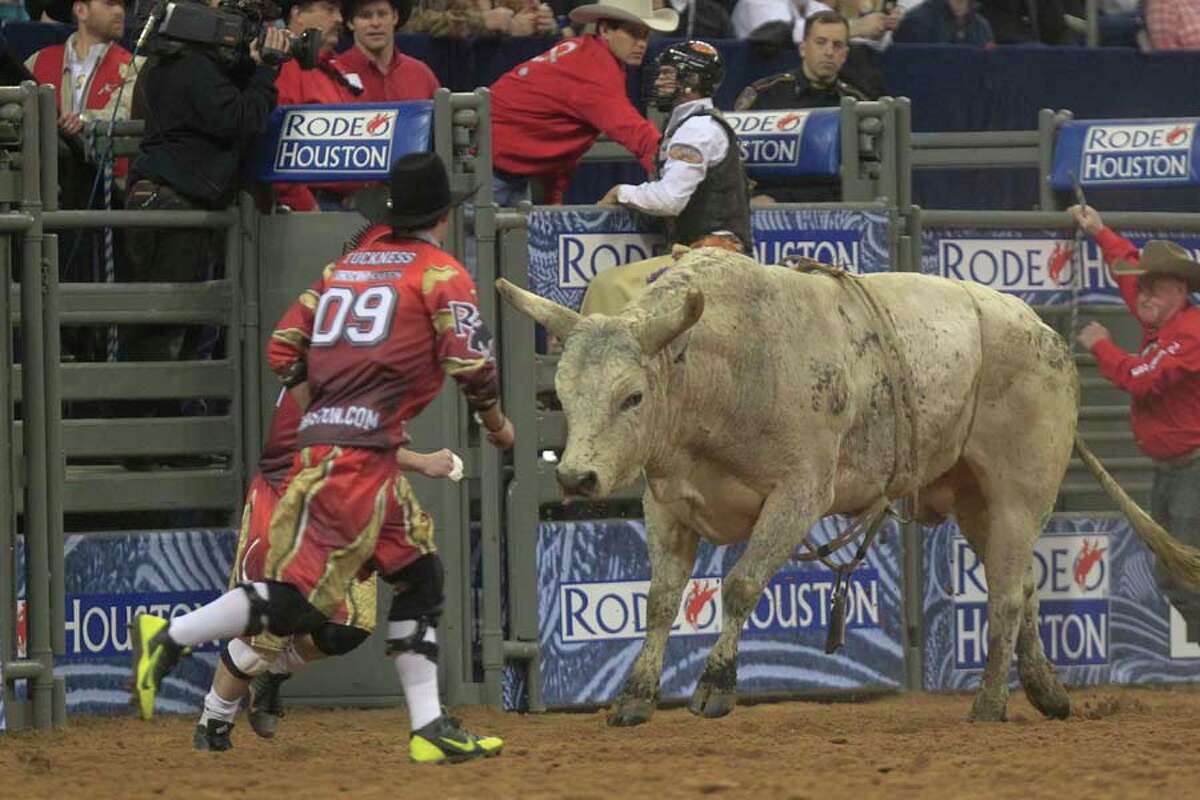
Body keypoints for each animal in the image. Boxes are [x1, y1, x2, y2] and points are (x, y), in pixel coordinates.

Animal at [496, 247, 1200, 726]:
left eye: (632, 396)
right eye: (562, 394)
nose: (576, 476)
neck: (724, 368)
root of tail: (1040, 330)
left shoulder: (799, 493)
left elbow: (741, 584)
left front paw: (716, 685)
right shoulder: (666, 503)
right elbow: (663, 600)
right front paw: (635, 698)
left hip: (1019, 491)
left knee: (1003, 594)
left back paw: (989, 704)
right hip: (973, 497)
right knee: (1022, 583)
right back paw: (1045, 691)